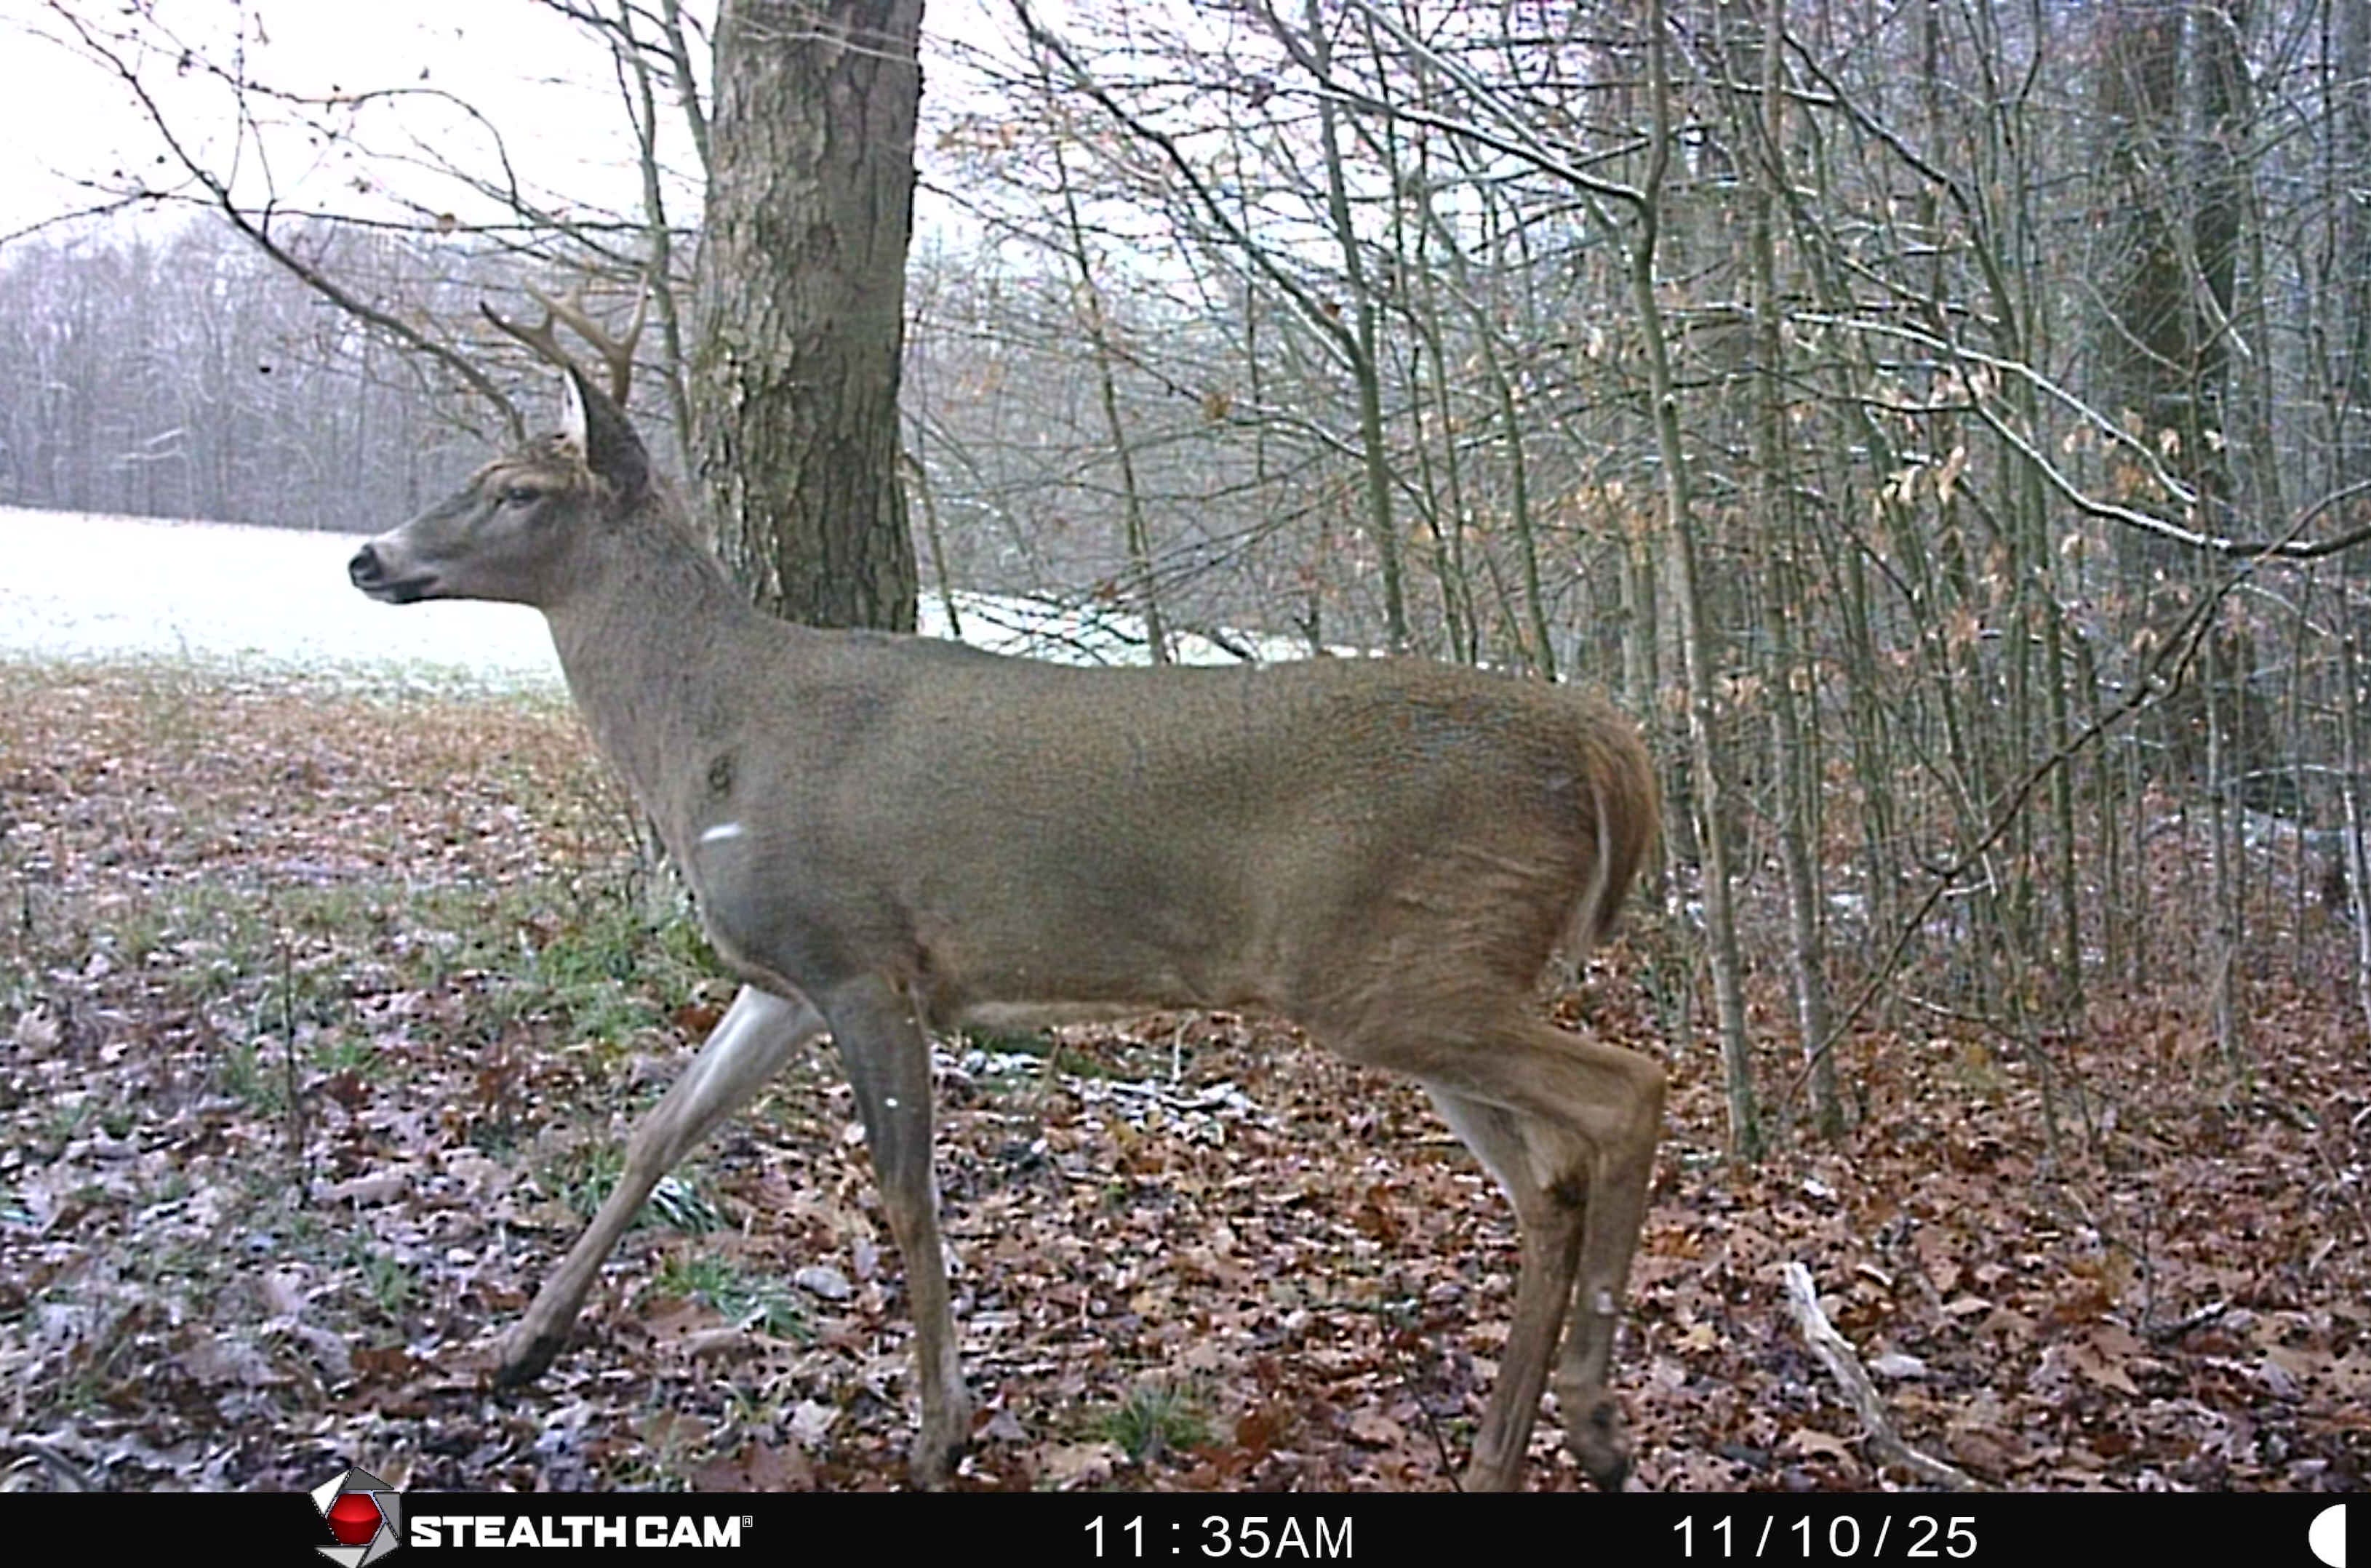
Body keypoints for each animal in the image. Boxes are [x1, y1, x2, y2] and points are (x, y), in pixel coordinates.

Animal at [345, 301, 1667, 1493]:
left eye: (520, 489)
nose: (369, 556)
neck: (712, 737)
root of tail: (1607, 747)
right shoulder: (784, 974)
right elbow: (658, 1131)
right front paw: (519, 1346)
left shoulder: (865, 957)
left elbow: (907, 1192)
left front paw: (942, 1431)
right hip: (1420, 972)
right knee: (1550, 1180)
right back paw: (1503, 1453)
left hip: (1400, 962)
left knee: (1628, 1093)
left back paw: (1596, 1422)